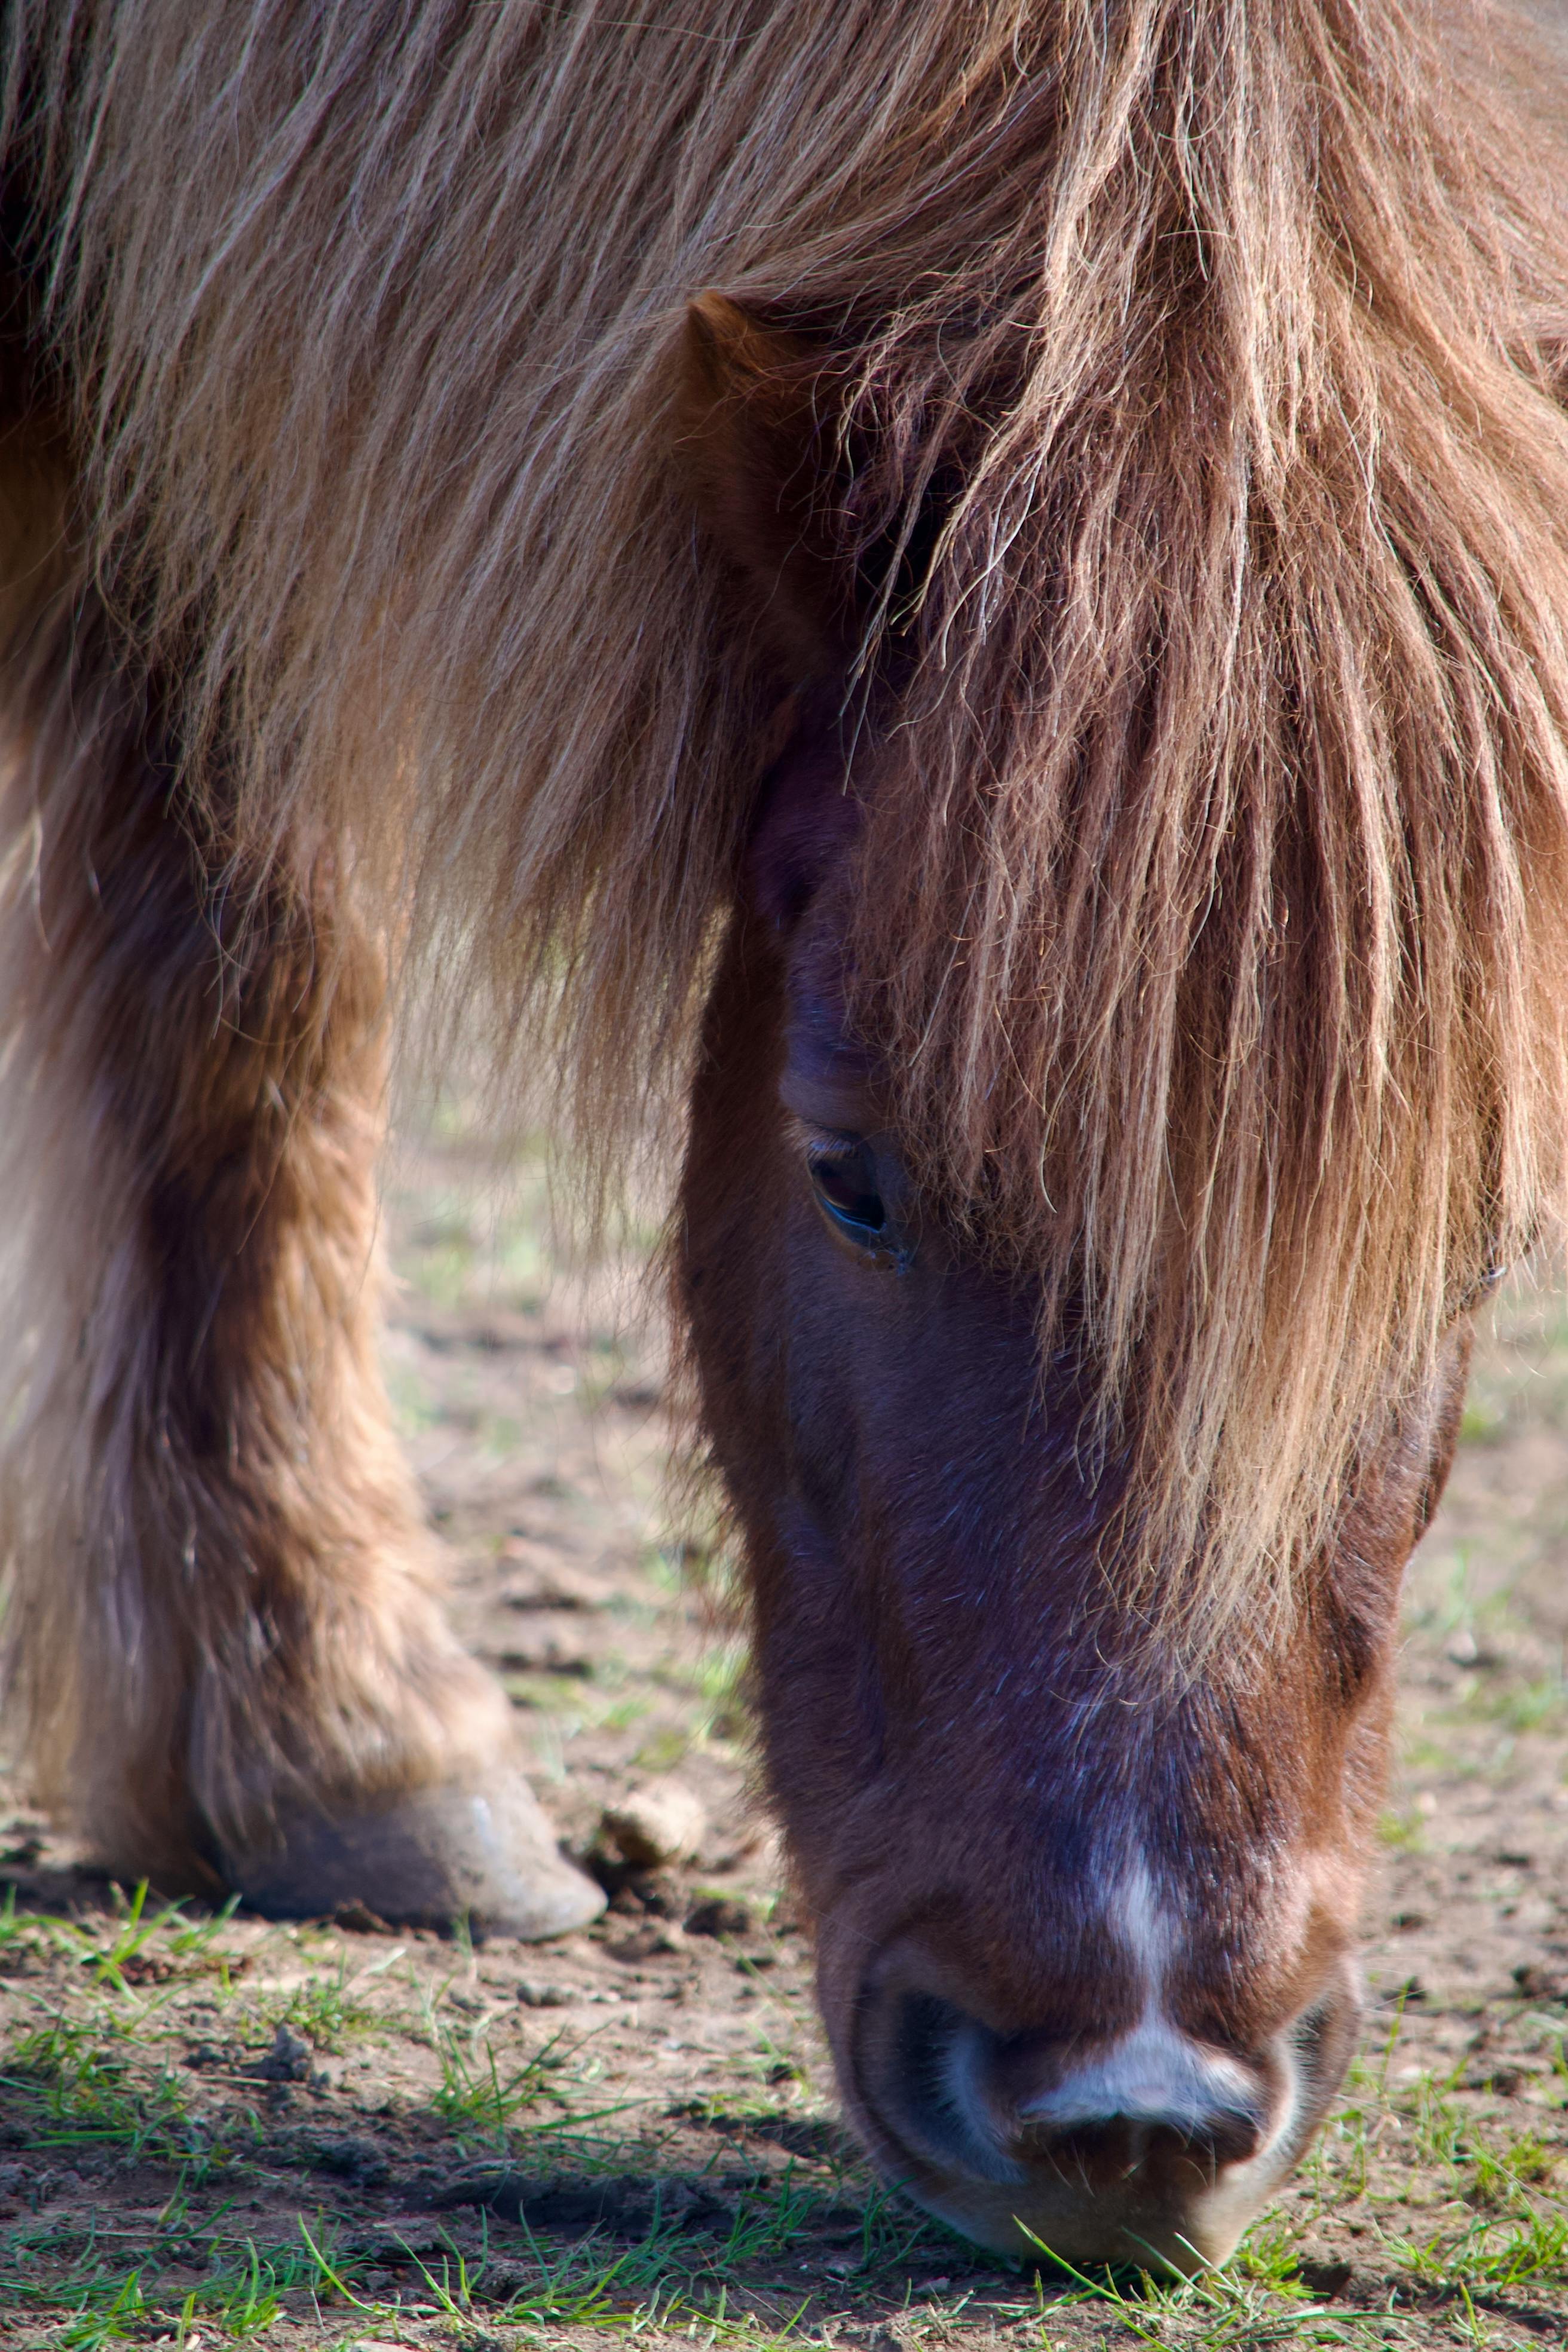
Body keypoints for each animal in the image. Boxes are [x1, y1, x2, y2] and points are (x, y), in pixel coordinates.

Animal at [1, 0, 1567, 2274]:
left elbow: (242, 921)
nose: (1134, 2111)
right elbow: (258, 944)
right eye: (849, 1179)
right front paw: (341, 1730)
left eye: (1482, 1235)